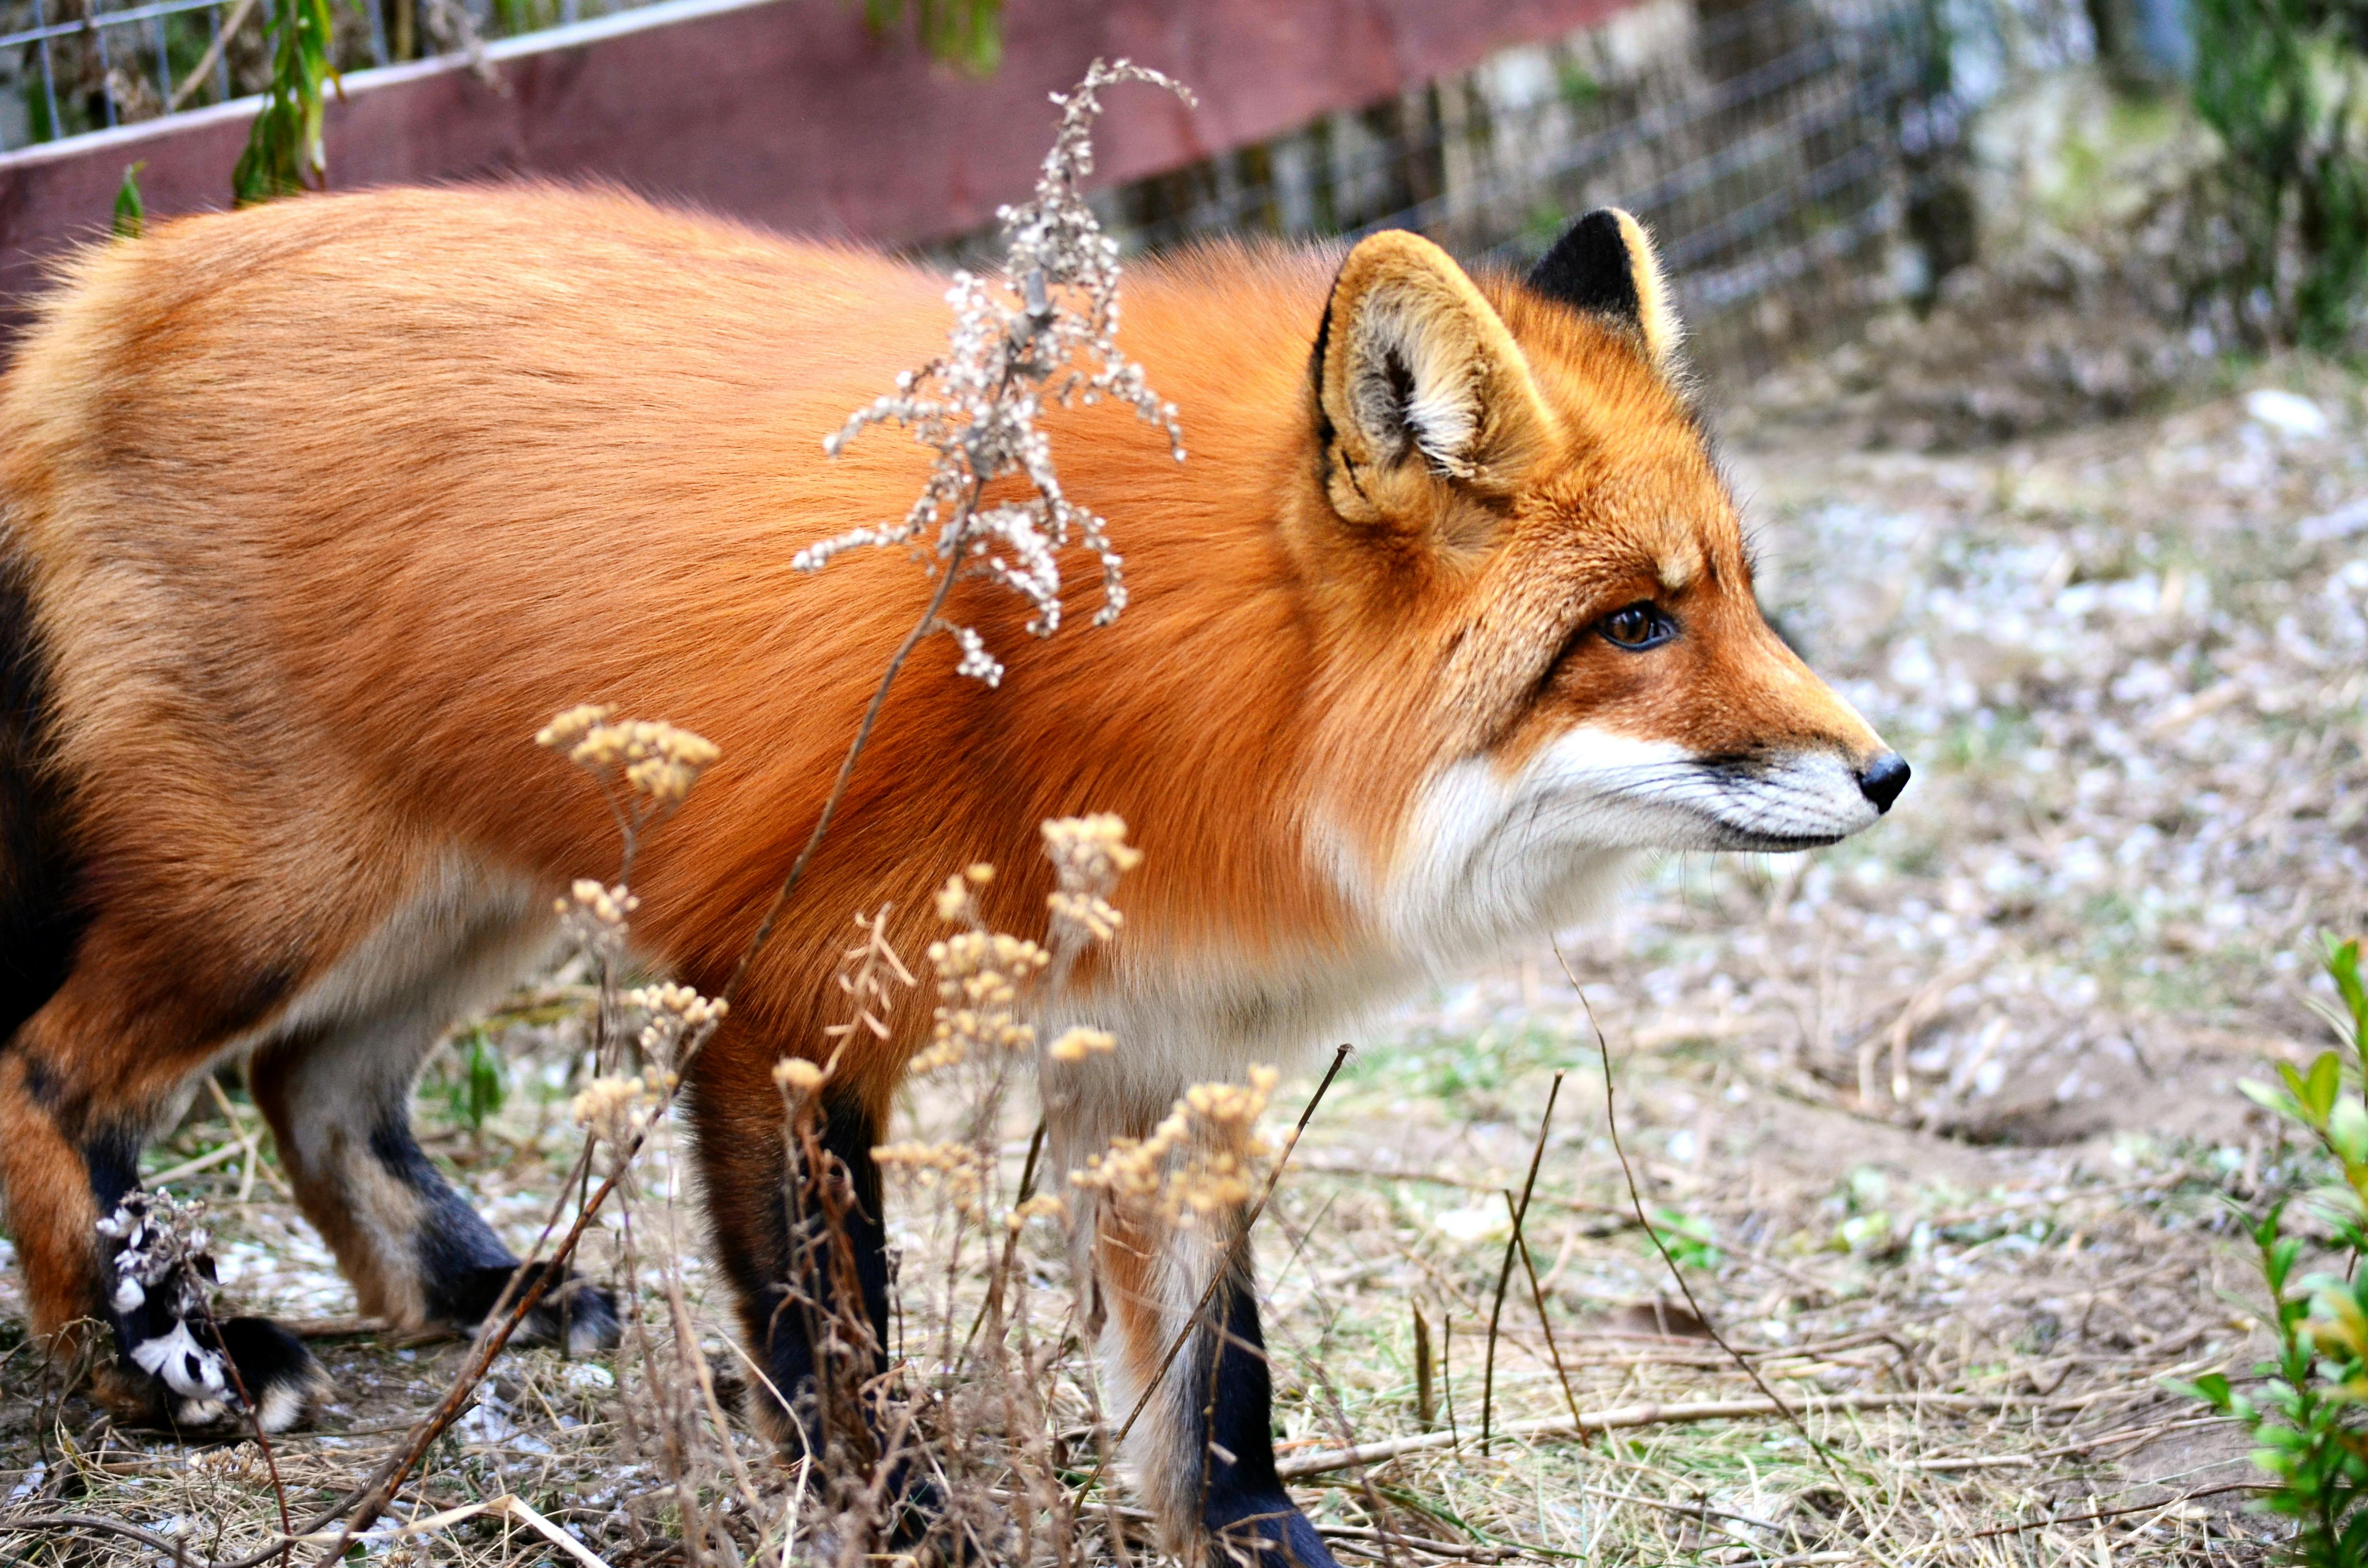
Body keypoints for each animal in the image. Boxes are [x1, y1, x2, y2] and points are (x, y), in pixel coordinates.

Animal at [0, 184, 1904, 1562]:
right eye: (1634, 624)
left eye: (1743, 594)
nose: (1888, 772)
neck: (1124, 657)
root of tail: (118, 275)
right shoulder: (781, 991)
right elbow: (839, 1337)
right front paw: (896, 1516)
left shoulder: (1163, 1050)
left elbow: (1217, 1388)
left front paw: (1247, 1533)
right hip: (282, 898)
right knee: (53, 1068)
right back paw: (160, 1360)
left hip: (469, 896)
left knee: (312, 1085)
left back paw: (473, 1291)